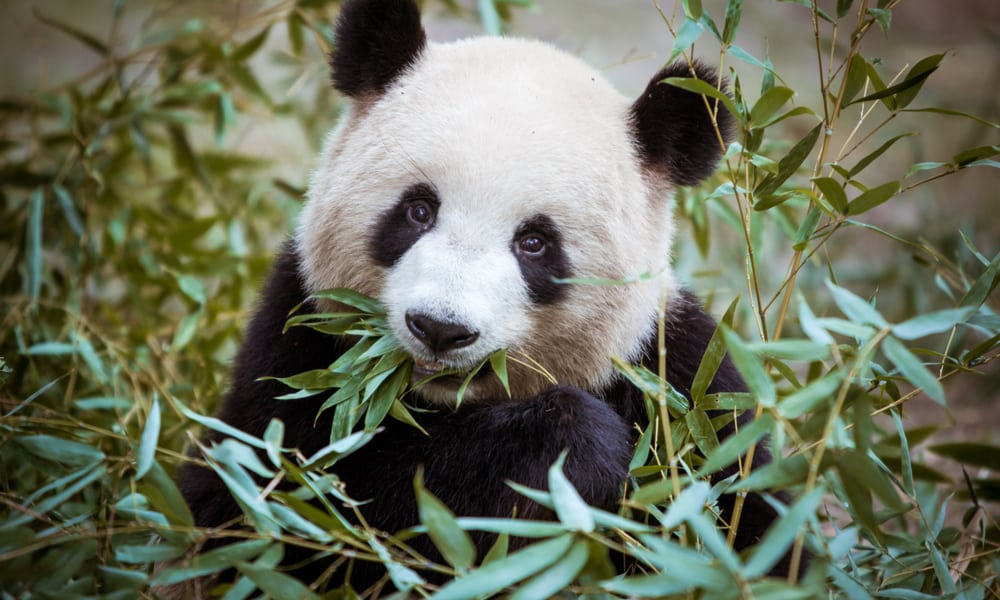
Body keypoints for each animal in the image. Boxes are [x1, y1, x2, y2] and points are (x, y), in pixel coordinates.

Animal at [176, 0, 792, 592]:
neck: (444, 403)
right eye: (418, 210)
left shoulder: (683, 387)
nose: (440, 328)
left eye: (535, 242)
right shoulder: (299, 343)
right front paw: (573, 449)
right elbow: (281, 513)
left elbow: (749, 529)